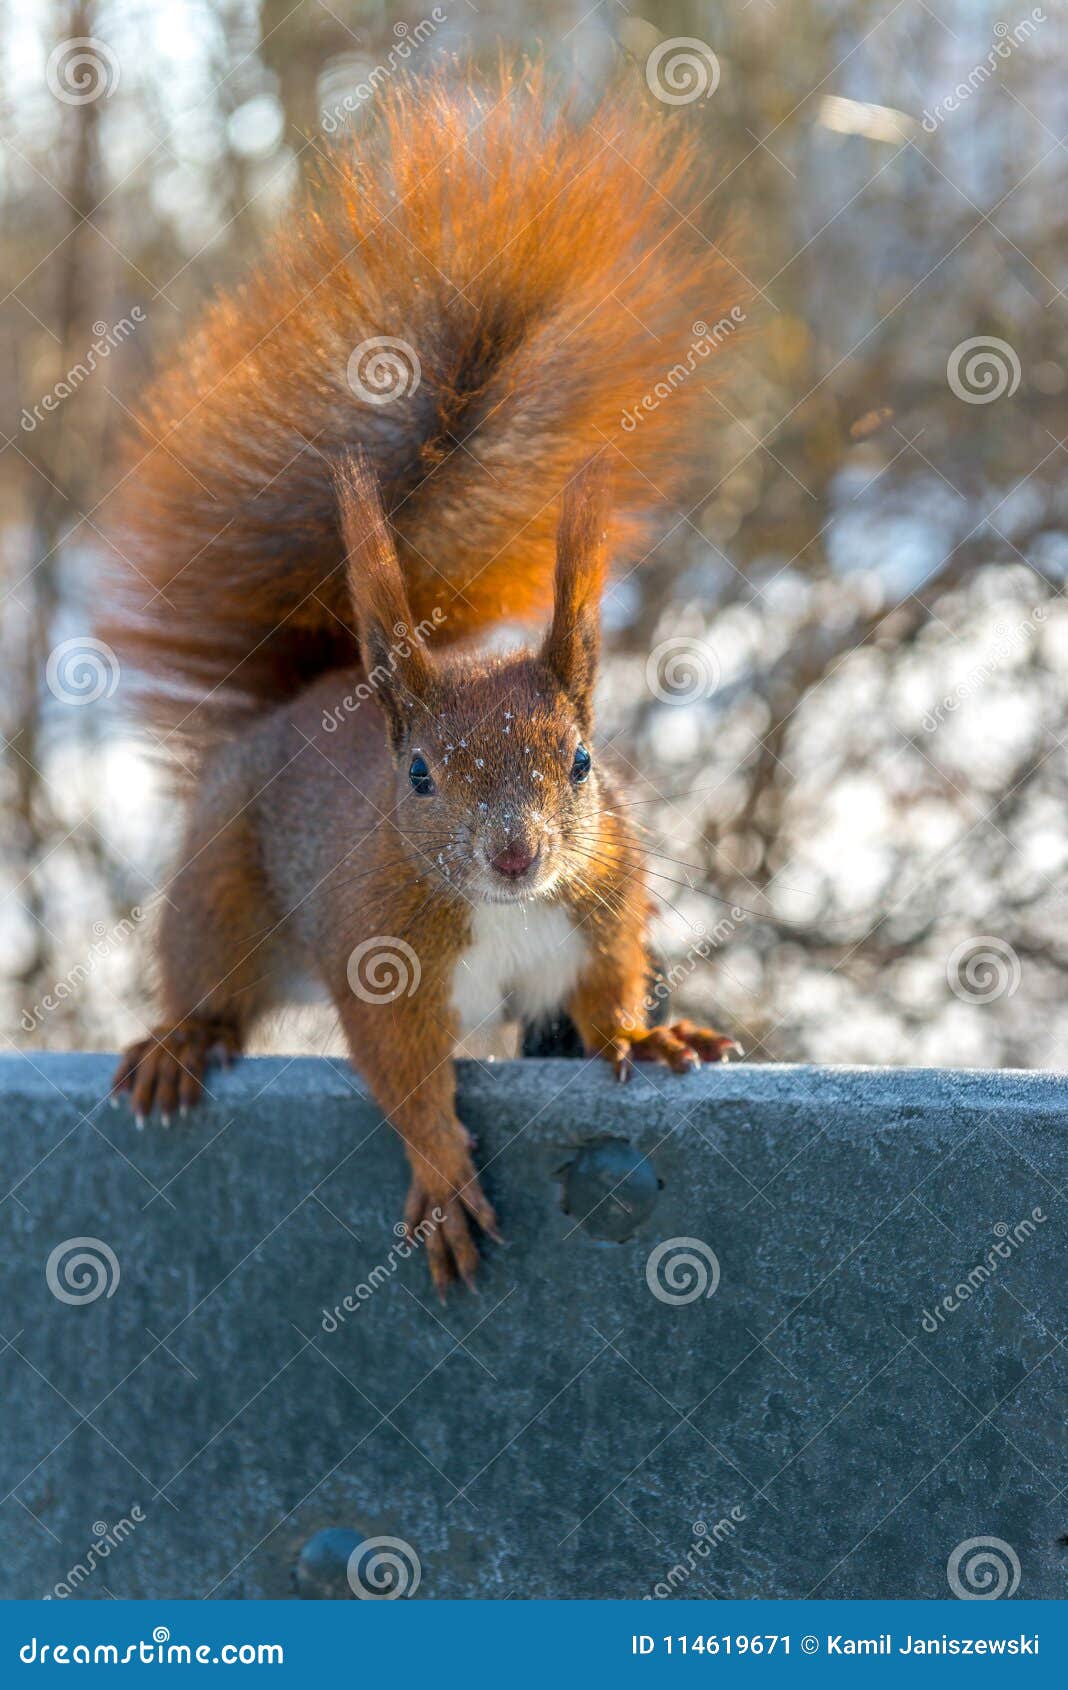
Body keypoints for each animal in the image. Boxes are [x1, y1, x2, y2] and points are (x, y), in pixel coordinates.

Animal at [104, 64, 745, 1294]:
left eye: (582, 761)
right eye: (418, 777)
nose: (516, 853)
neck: (503, 915)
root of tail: (304, 699)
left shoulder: (606, 917)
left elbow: (605, 998)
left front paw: (648, 1035)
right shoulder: (378, 962)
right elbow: (401, 1075)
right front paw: (446, 1179)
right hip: (220, 889)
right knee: (211, 980)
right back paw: (182, 1039)